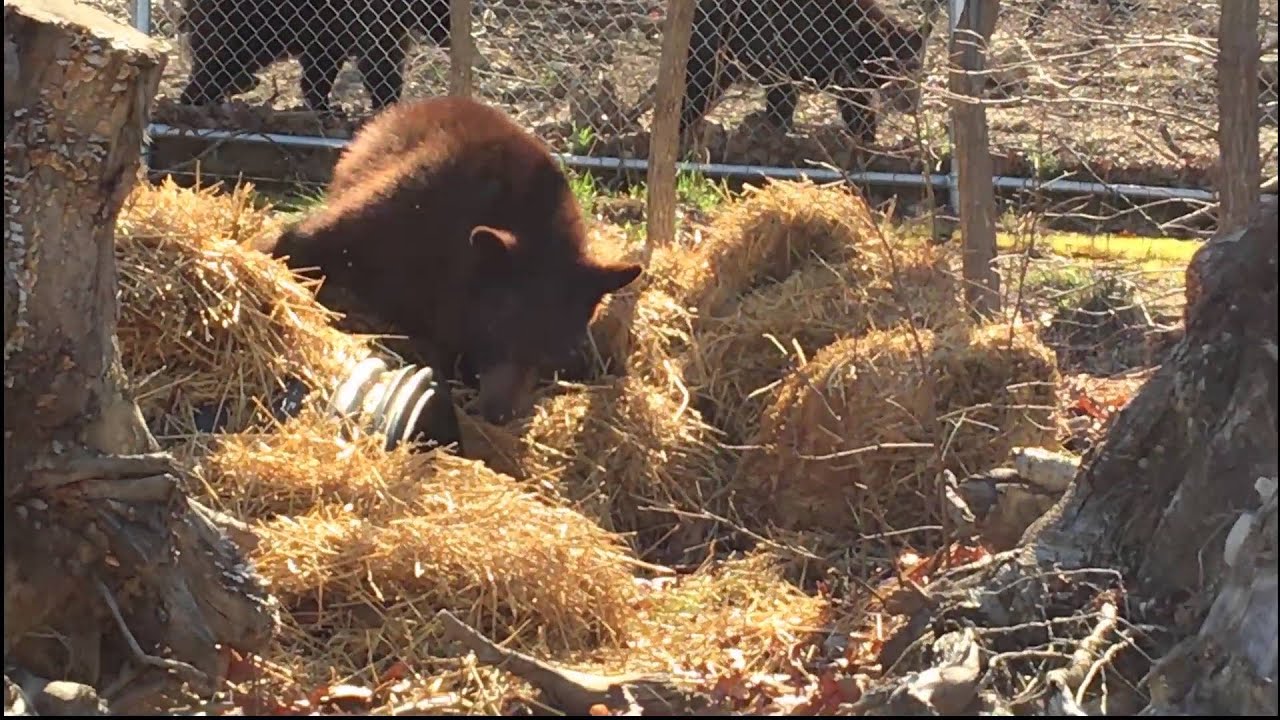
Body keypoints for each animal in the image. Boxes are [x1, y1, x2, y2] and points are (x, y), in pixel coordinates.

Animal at [178, 0, 452, 113]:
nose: (448, 38)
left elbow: (321, 65)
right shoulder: (372, 16)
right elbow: (379, 61)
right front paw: (387, 103)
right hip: (247, 21)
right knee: (221, 57)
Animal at [680, 0, 928, 145]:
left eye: (913, 68)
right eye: (890, 69)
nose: (909, 102)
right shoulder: (784, 70)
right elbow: (782, 107)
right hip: (709, 64)